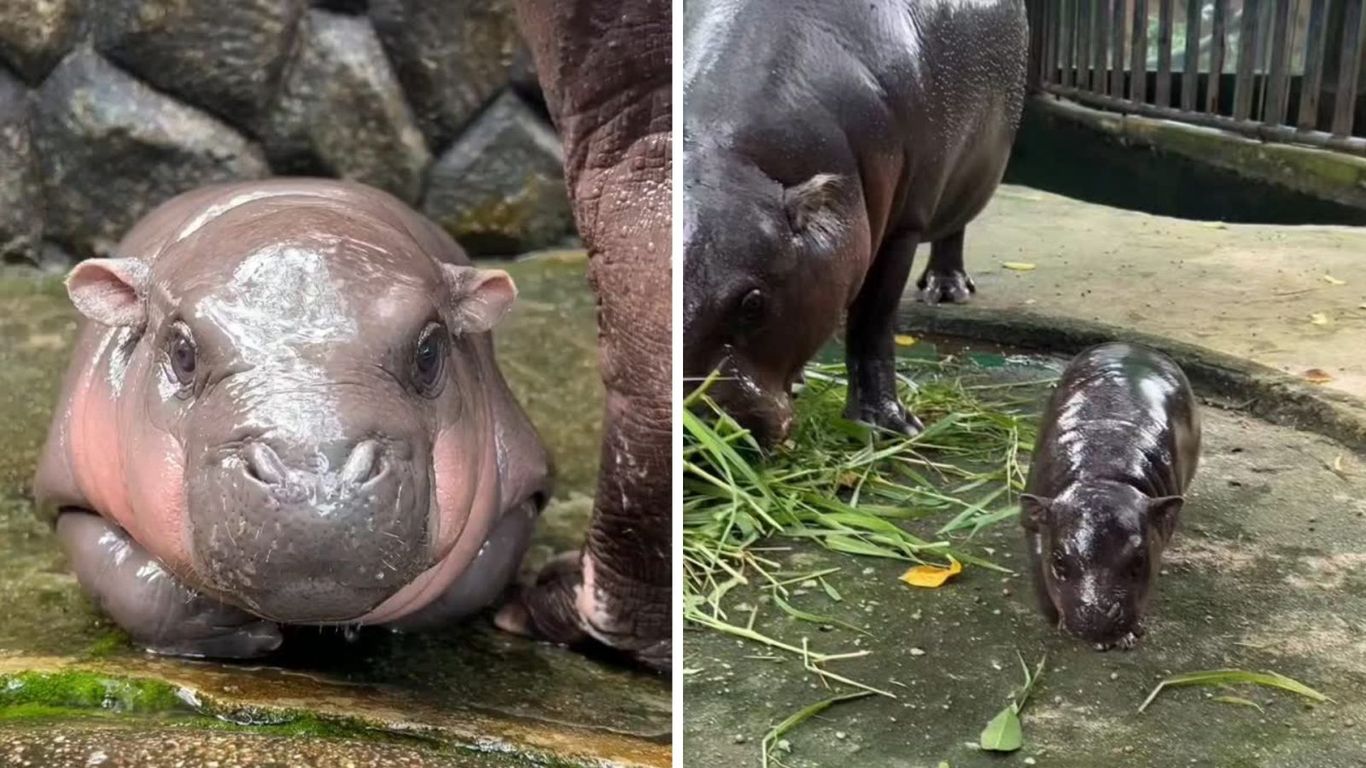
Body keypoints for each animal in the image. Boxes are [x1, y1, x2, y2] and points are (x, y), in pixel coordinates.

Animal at [34, 179, 551, 658]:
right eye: (181, 351)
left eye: (429, 352)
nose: (316, 487)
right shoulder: (67, 493)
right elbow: (130, 584)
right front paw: (236, 628)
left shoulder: (522, 492)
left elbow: (472, 579)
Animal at [682, 0, 1028, 444]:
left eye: (753, 303)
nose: (689, 434)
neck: (732, 156)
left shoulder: (903, 226)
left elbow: (872, 323)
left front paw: (888, 426)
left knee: (953, 232)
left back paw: (947, 290)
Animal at [1021, 343, 1201, 650]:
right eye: (1058, 561)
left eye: (1139, 560)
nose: (1098, 623)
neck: (1103, 471)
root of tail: (1133, 345)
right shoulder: (1035, 518)